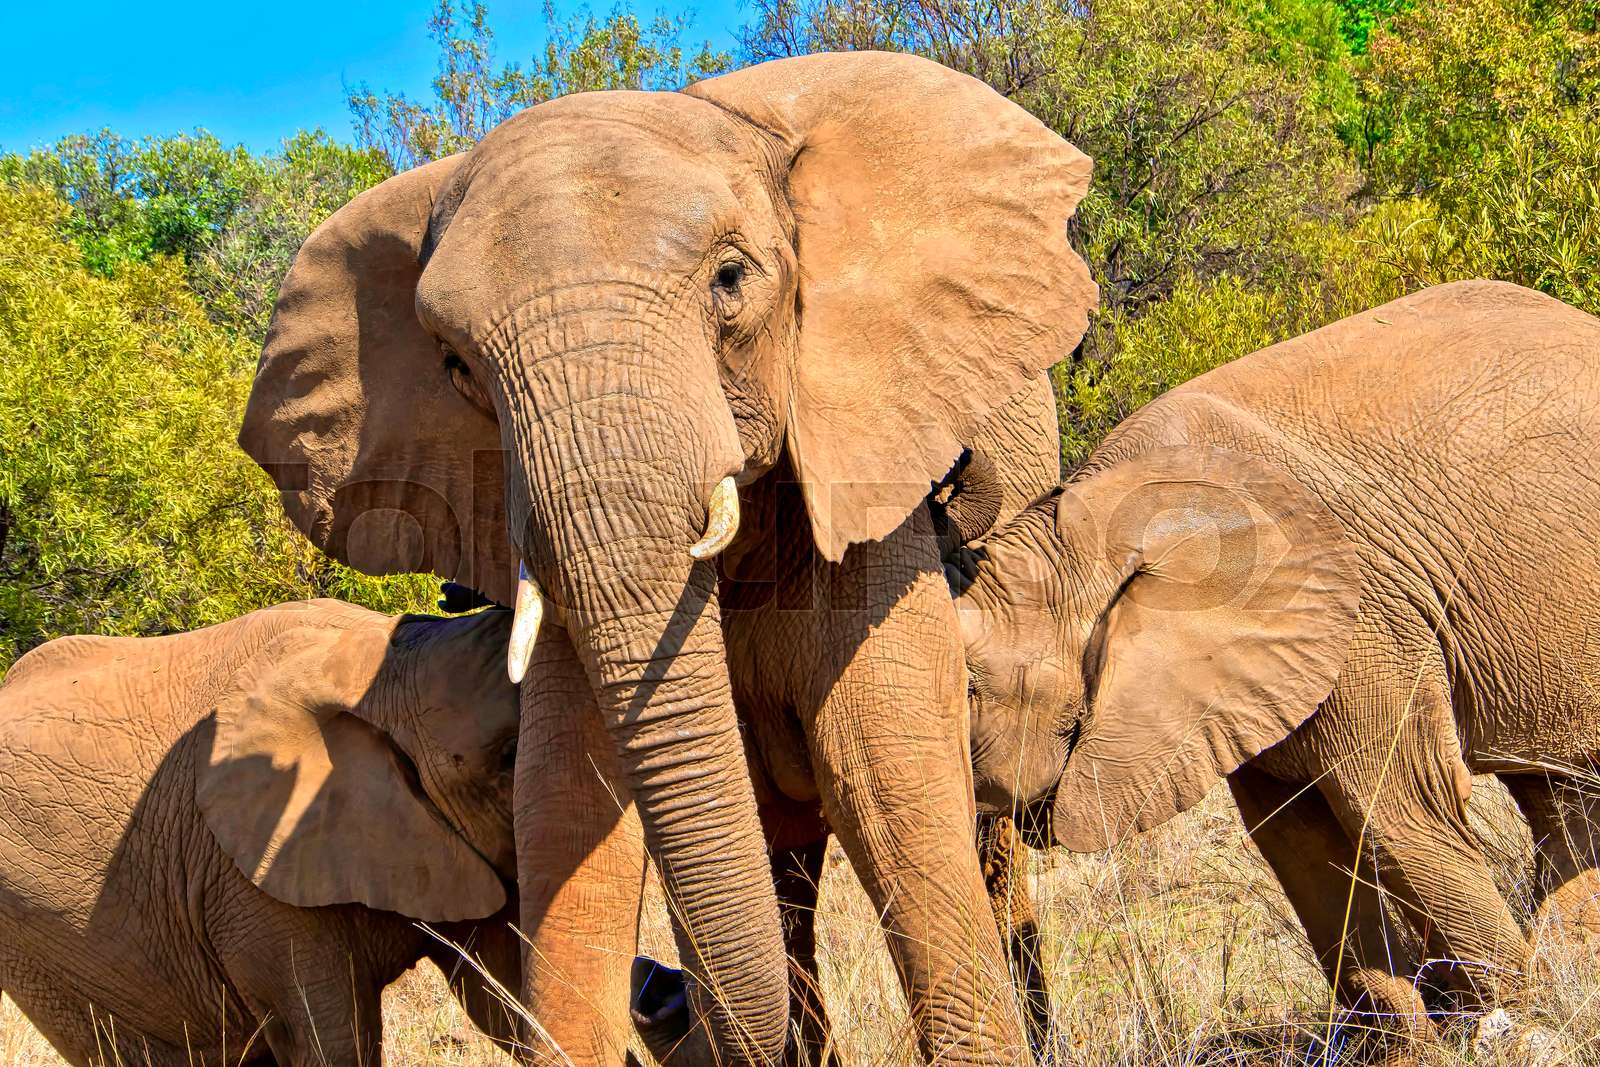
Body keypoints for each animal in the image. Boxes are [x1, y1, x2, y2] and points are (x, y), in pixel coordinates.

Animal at [240, 49, 1095, 1065]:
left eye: (730, 279)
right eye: (455, 366)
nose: (663, 995)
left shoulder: (862, 455)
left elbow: (884, 765)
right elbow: (567, 799)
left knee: (977, 839)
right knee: (781, 871)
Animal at [945, 281, 1600, 1037]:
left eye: (969, 685)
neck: (1086, 528)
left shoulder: (1361, 620)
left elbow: (1406, 817)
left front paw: (1517, 1026)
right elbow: (1298, 843)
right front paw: (1408, 1039)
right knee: (1560, 794)